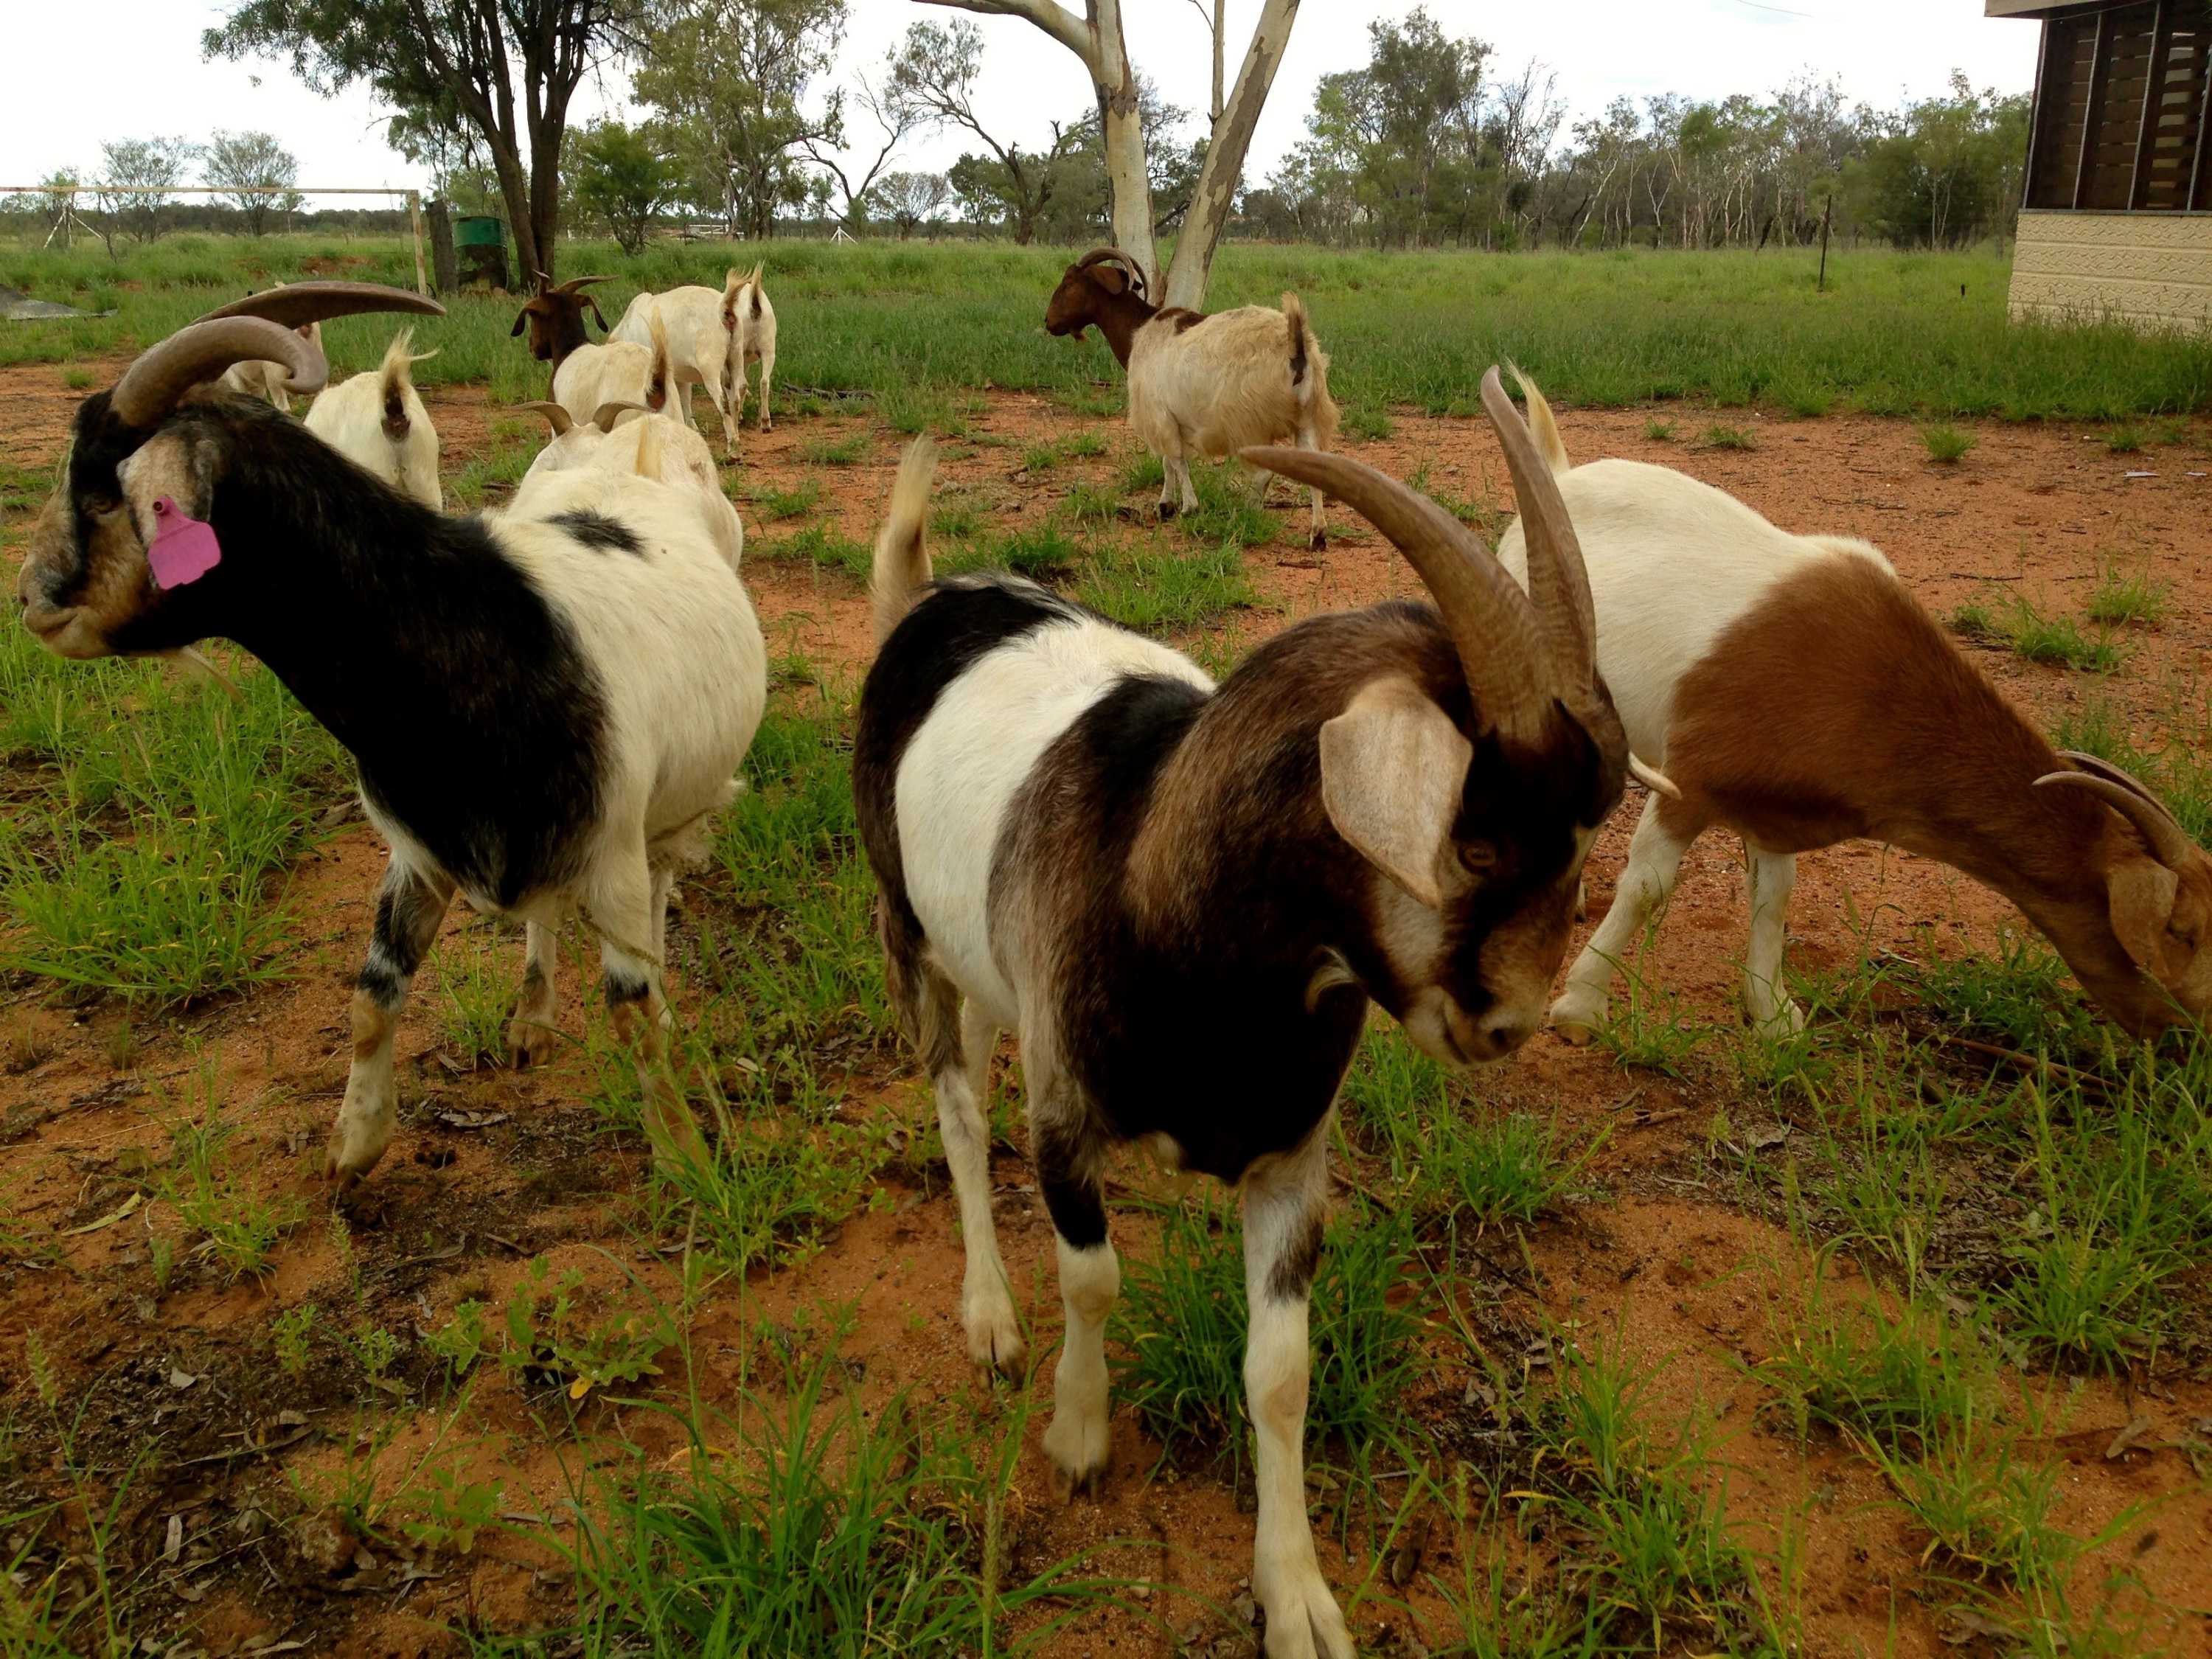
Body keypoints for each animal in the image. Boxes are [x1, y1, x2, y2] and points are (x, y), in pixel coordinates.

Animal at [853, 368, 1634, 1659]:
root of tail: (933, 598)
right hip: (902, 921)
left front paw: (1297, 1589)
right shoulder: (1065, 1114)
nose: (1513, 1022)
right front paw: (1078, 1439)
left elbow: (1281, 1370)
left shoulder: (1290, 1159)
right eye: (1474, 845)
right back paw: (990, 1315)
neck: (1155, 883)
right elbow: (1093, 1275)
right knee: (957, 1108)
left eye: (1580, 843)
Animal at [1044, 247, 1337, 550]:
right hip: (1307, 417)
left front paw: (1186, 507)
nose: (1048, 322)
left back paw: (1244, 518)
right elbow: (1168, 462)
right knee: (1314, 470)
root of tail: (1296, 344)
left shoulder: (1159, 415)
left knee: (1263, 474)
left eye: (1069, 283)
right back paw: (1318, 534)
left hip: (1248, 422)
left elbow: (1176, 460)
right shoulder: (1170, 418)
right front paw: (1166, 505)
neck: (1139, 331)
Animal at [1493, 374, 2212, 1043]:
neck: (1875, 686)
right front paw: (1581, 1009)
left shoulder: (1777, 804)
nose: (2189, 1038)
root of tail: (1559, 473)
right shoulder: (1692, 779)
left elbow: (1775, 899)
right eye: (2183, 931)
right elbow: (1648, 888)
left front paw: (1773, 1016)